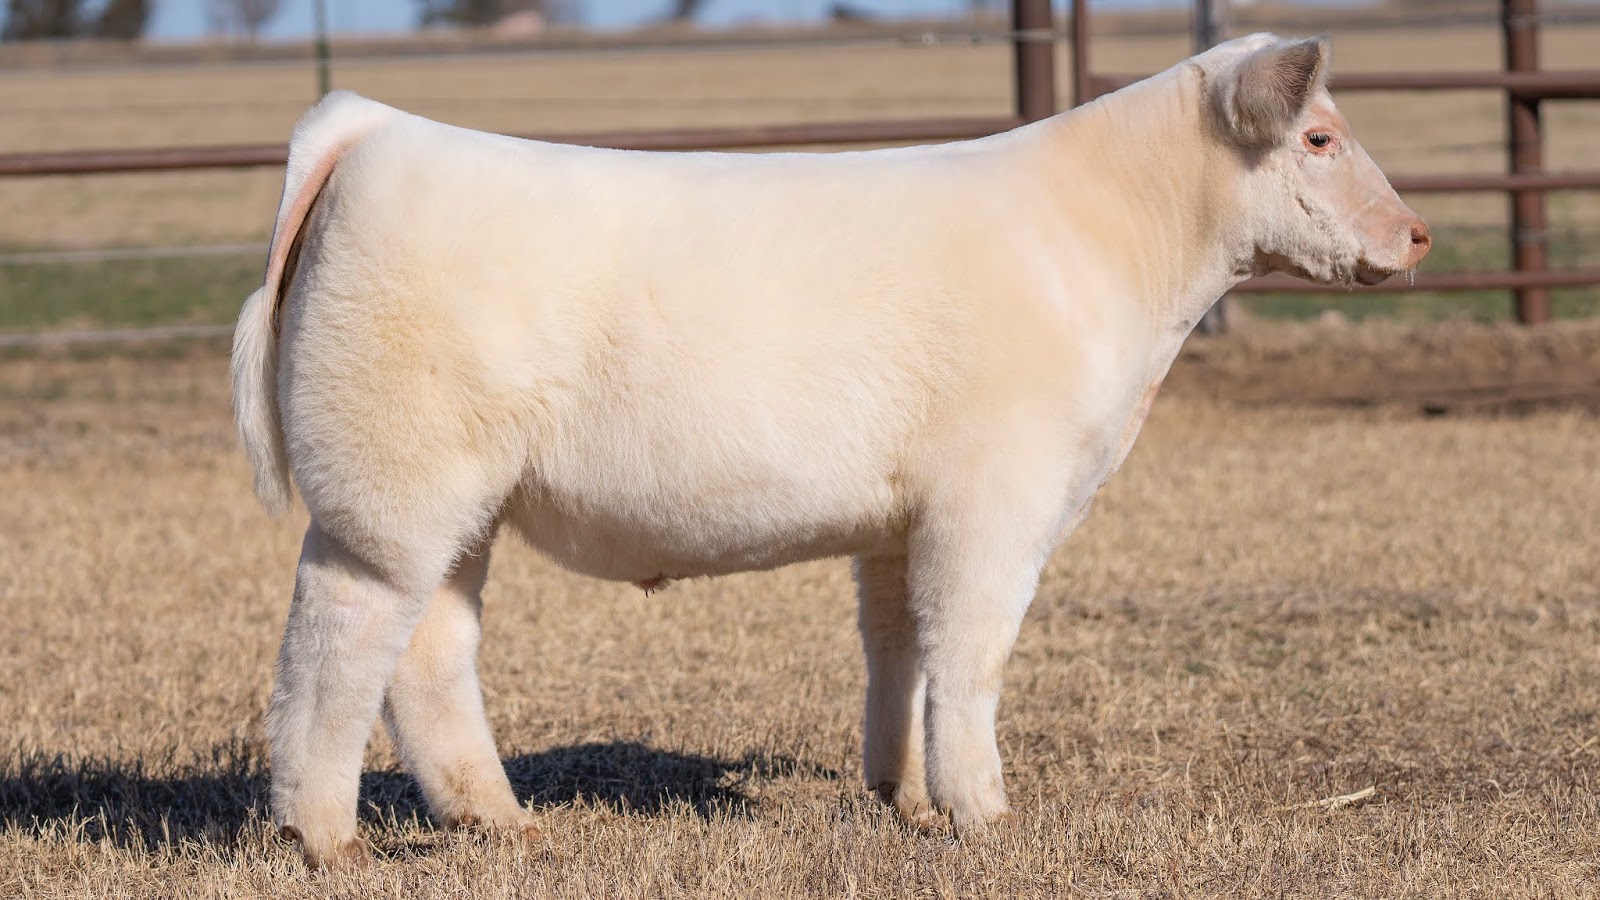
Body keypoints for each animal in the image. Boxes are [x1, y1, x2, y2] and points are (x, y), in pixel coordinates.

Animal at [231, 33, 1430, 868]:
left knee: (429, 650)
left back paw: (501, 825)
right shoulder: (997, 495)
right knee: (339, 637)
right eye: (1318, 137)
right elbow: (972, 651)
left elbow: (899, 646)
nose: (1417, 233)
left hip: (456, 505)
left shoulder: (901, 521)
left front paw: (906, 800)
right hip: (396, 489)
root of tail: (376, 128)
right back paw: (327, 840)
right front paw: (985, 816)